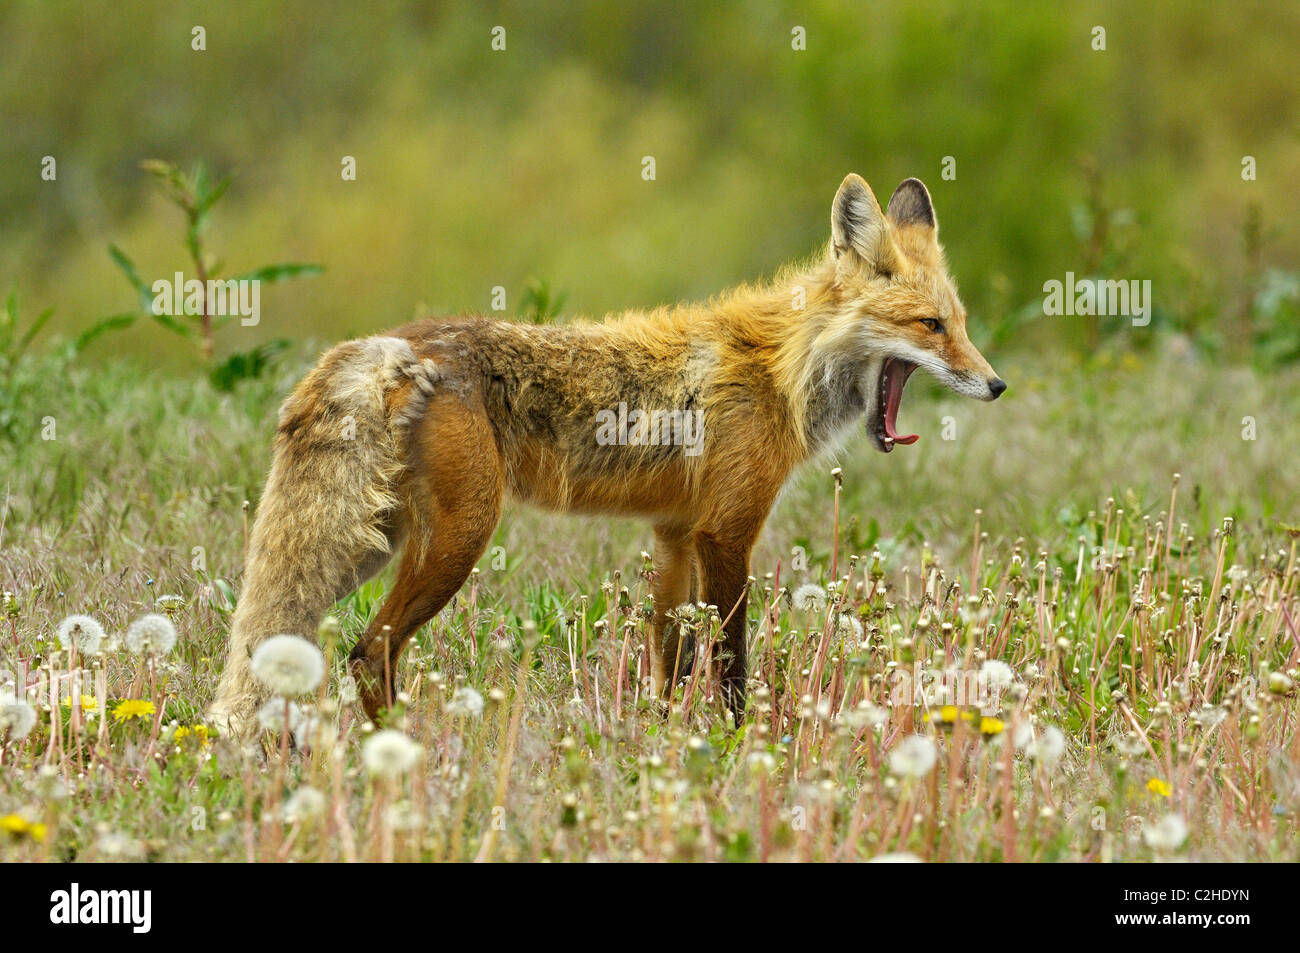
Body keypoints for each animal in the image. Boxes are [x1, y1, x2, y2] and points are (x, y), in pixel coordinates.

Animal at [208, 173, 1005, 737]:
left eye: (962, 324)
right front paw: (740, 749)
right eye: (929, 326)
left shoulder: (676, 534)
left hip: (369, 544)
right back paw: (411, 758)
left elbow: (671, 663)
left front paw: (663, 750)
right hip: (456, 536)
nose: (996, 384)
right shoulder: (727, 532)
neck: (784, 368)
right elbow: (730, 661)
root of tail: (392, 341)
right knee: (367, 653)